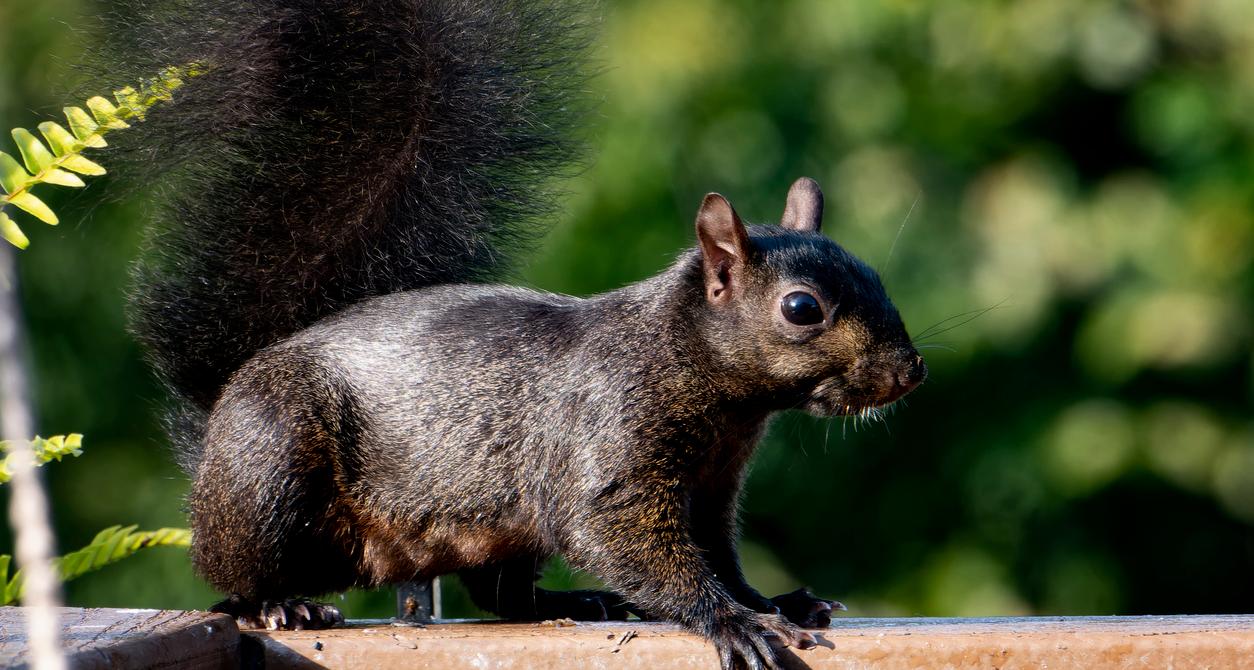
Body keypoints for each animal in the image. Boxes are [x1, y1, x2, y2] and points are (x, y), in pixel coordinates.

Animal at [105, 0, 927, 668]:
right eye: (801, 309)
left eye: (876, 277)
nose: (909, 372)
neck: (704, 382)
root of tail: (222, 408)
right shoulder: (608, 441)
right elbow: (629, 541)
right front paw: (731, 622)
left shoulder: (711, 484)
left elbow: (720, 556)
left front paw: (774, 602)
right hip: (269, 465)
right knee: (234, 580)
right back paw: (282, 603)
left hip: (491, 528)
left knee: (501, 597)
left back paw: (573, 602)